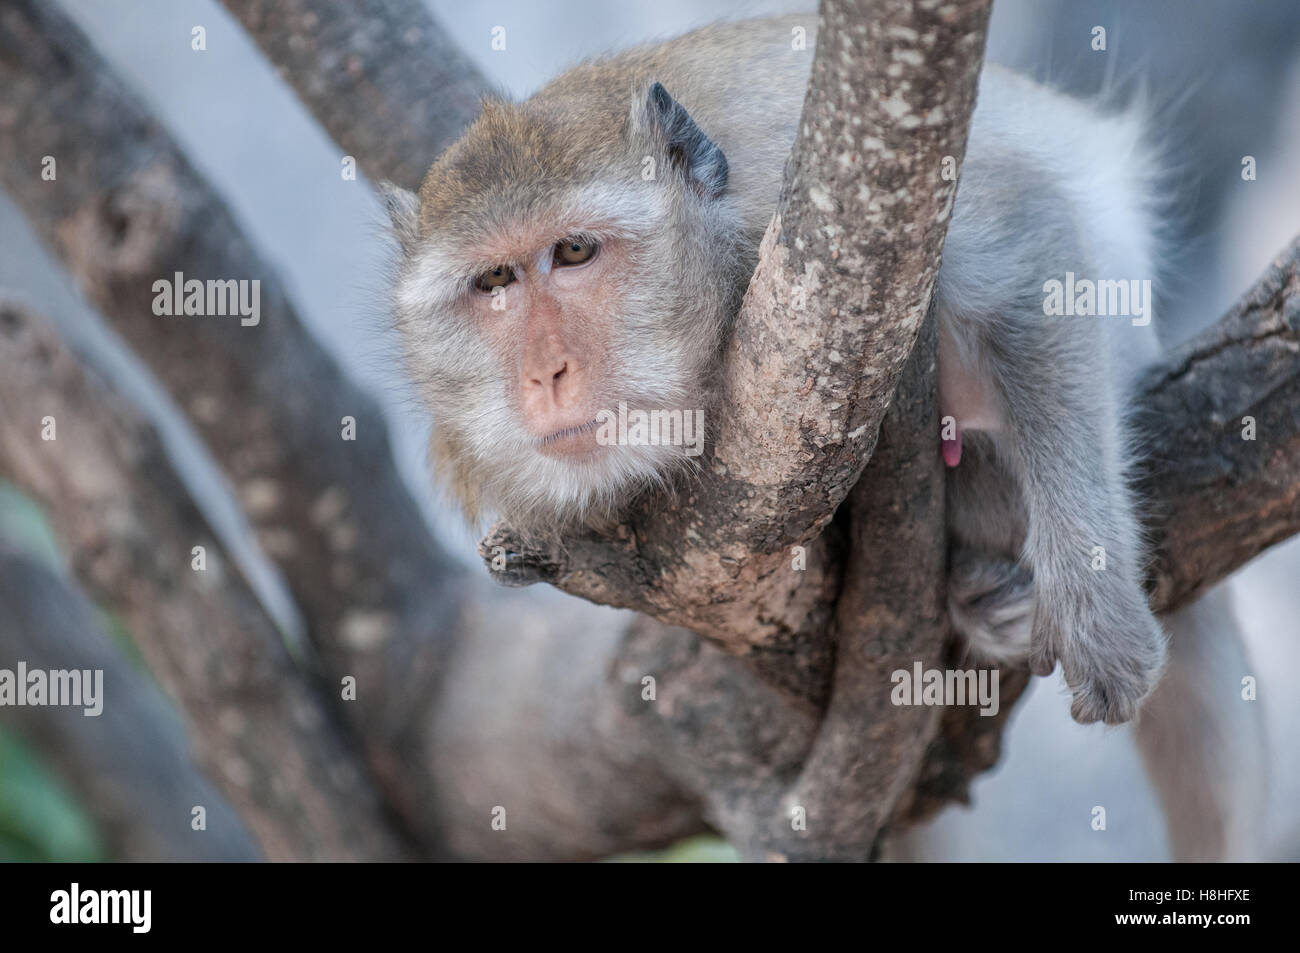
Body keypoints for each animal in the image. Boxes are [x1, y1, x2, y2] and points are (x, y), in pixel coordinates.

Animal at [383, 15, 1265, 860]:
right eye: (494, 281)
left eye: (572, 251)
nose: (546, 373)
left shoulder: (805, 197)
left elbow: (1031, 247)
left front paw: (1099, 615)